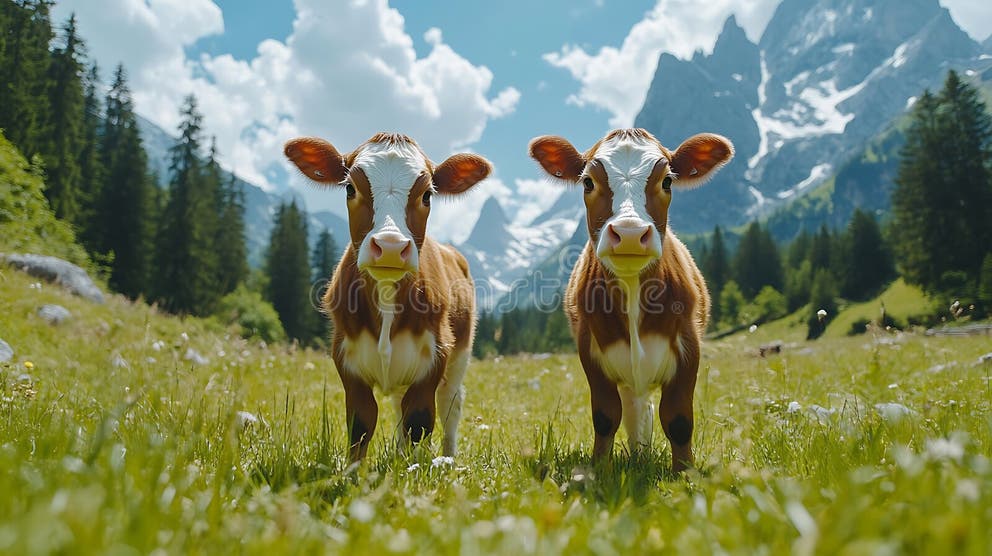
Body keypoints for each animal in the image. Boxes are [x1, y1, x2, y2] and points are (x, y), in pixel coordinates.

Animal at [284, 133, 491, 462]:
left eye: (427, 195)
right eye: (350, 188)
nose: (391, 246)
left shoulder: (436, 356)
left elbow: (419, 420)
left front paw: (416, 469)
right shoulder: (345, 358)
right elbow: (361, 423)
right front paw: (356, 472)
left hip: (461, 355)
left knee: (451, 404)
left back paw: (447, 457)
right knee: (398, 406)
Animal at [528, 128, 733, 472]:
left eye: (667, 181)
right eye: (588, 182)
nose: (628, 234)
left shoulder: (689, 347)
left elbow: (679, 420)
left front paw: (685, 472)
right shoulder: (591, 352)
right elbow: (605, 417)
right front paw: (600, 469)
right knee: (634, 409)